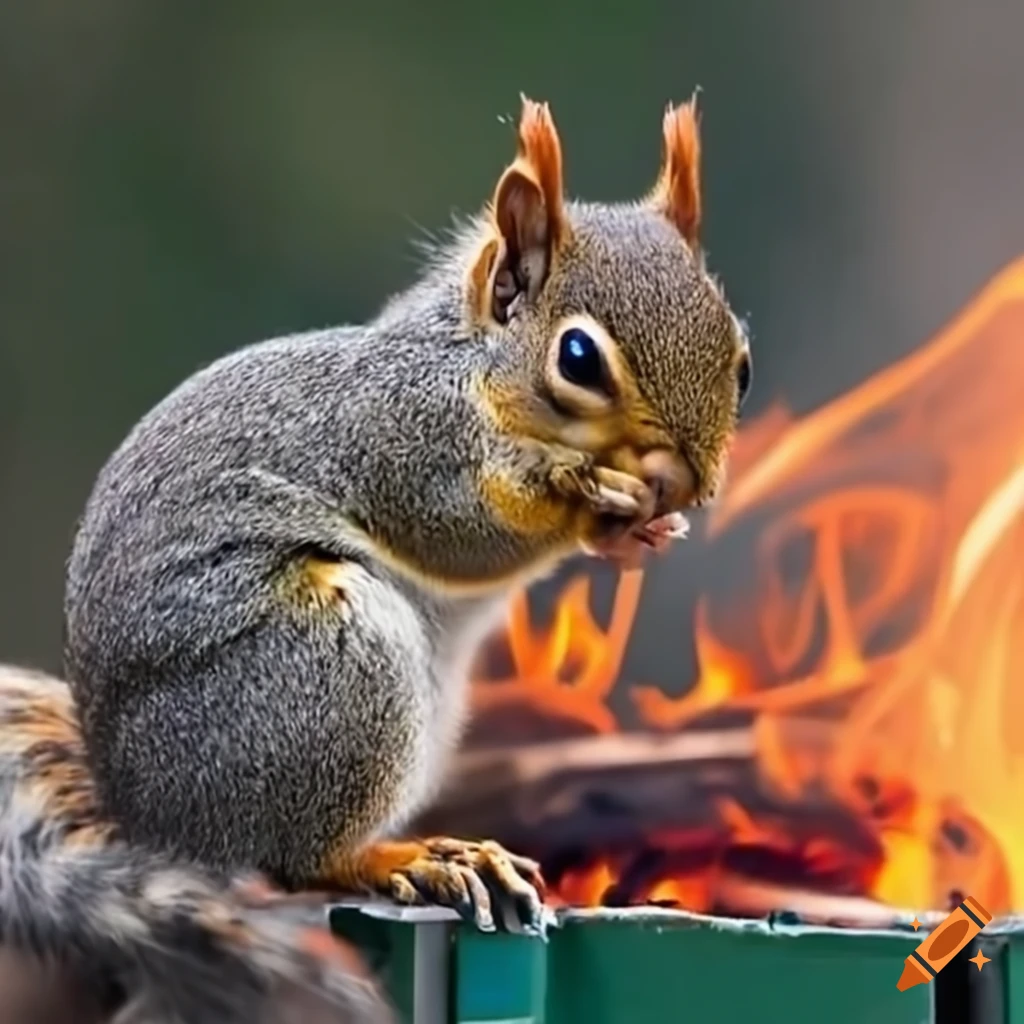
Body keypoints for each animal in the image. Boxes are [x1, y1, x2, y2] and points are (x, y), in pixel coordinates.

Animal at [0, 95, 751, 1022]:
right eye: (579, 359)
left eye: (741, 362)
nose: (687, 481)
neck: (471, 366)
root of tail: (153, 824)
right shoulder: (401, 438)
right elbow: (458, 527)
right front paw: (589, 495)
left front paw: (643, 528)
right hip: (325, 672)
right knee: (291, 863)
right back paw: (410, 859)